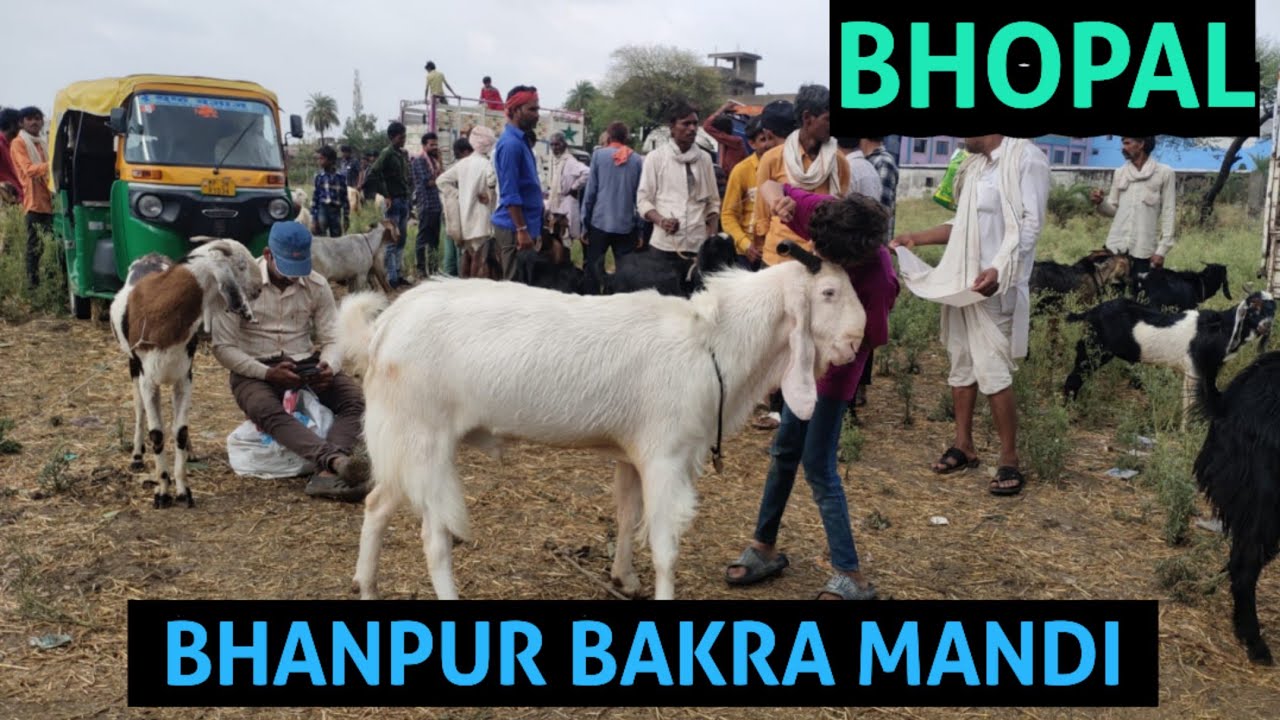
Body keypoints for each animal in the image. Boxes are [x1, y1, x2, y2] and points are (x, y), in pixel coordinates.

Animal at [108, 239, 261, 508]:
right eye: (241, 265)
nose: (259, 288)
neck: (162, 314)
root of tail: (151, 255)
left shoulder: (184, 377)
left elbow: (180, 431)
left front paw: (182, 490)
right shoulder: (148, 380)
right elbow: (157, 434)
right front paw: (162, 492)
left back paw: (189, 453)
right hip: (133, 366)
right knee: (139, 410)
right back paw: (137, 455)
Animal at [336, 241, 867, 601]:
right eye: (828, 291)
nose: (856, 342)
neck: (713, 343)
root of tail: (384, 327)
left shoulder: (634, 455)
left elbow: (628, 517)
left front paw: (624, 578)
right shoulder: (666, 458)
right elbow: (666, 545)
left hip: (403, 441)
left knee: (377, 504)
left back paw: (366, 584)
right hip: (424, 441)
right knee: (433, 538)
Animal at [1063, 292, 1276, 429]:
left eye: (1273, 310)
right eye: (1254, 308)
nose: (1266, 326)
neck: (1224, 327)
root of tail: (1091, 312)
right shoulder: (1198, 369)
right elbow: (1196, 399)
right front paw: (1187, 431)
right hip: (1094, 350)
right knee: (1075, 377)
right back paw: (1067, 411)